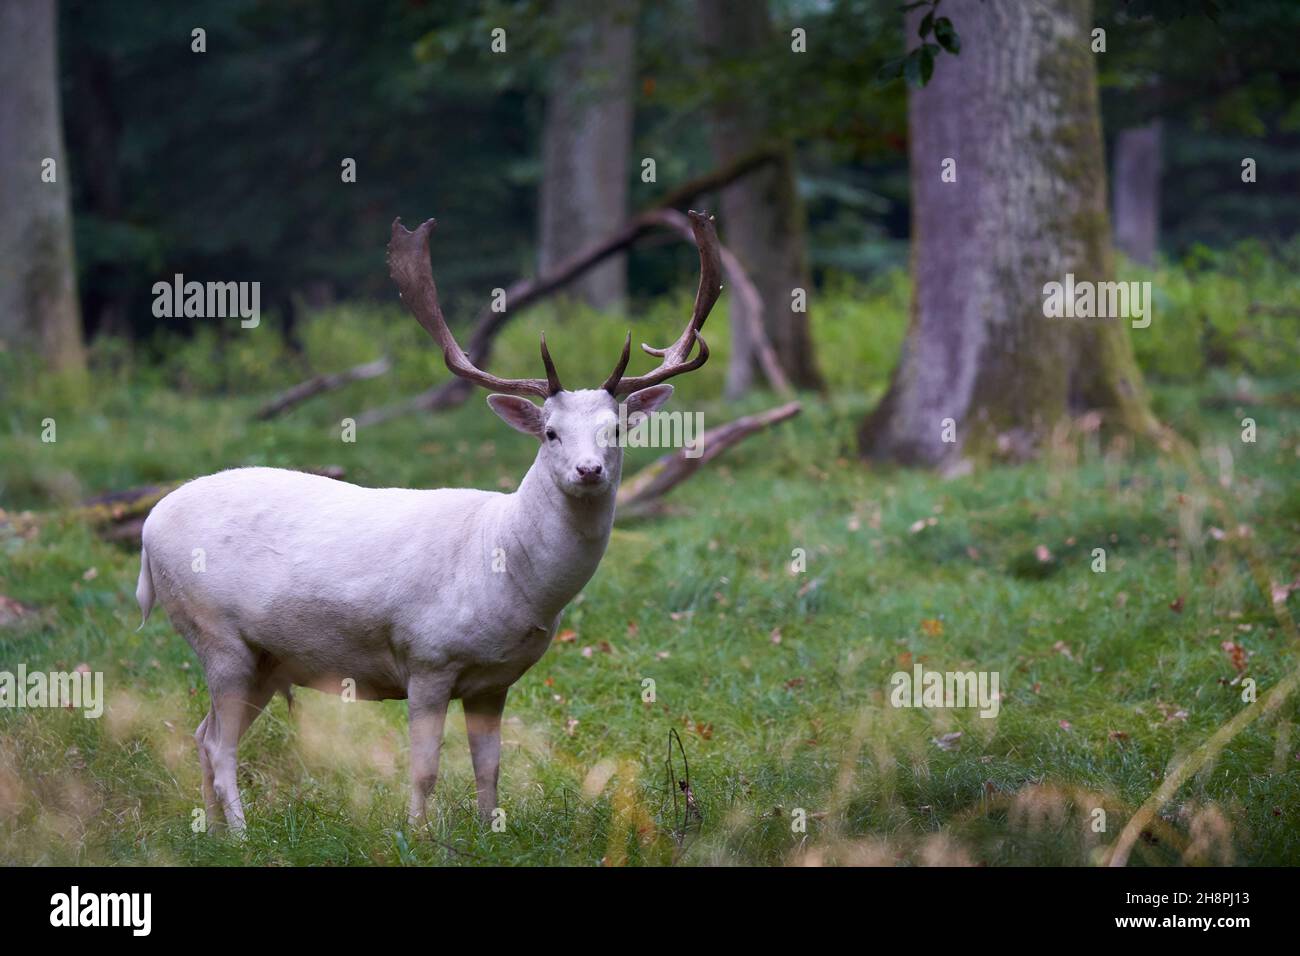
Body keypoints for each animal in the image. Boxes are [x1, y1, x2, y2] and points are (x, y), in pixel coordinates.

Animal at [135, 211, 721, 834]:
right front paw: (417, 835)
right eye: (550, 432)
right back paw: (244, 836)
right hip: (215, 632)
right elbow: (425, 768)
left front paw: (491, 830)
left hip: (269, 658)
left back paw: (210, 831)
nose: (589, 470)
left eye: (614, 431)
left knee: (202, 734)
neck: (506, 570)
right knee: (218, 743)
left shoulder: (495, 680)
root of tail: (148, 528)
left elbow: (489, 767)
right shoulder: (426, 656)